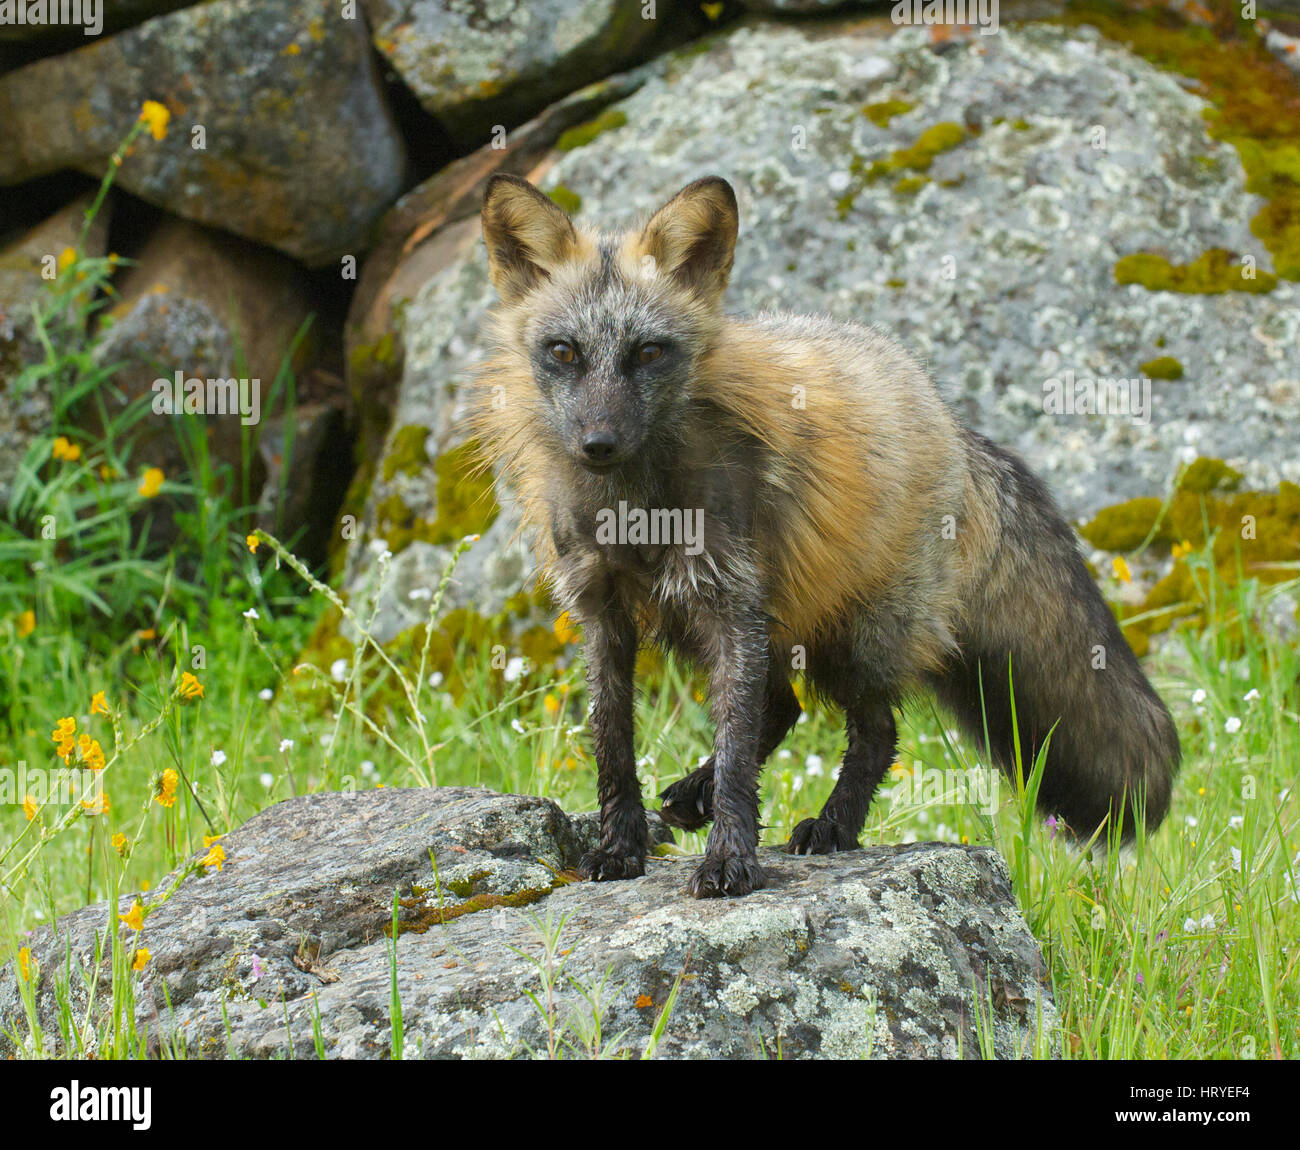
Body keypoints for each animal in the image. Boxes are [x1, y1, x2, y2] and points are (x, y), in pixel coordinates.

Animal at [470, 173, 1180, 898]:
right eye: (563, 352)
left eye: (647, 352)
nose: (598, 444)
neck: (633, 511)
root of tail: (951, 422)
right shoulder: (603, 610)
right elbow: (614, 746)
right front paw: (620, 848)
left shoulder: (730, 599)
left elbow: (736, 753)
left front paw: (729, 860)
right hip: (727, 624)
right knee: (781, 708)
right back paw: (698, 796)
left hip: (857, 638)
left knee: (871, 732)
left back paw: (833, 826)